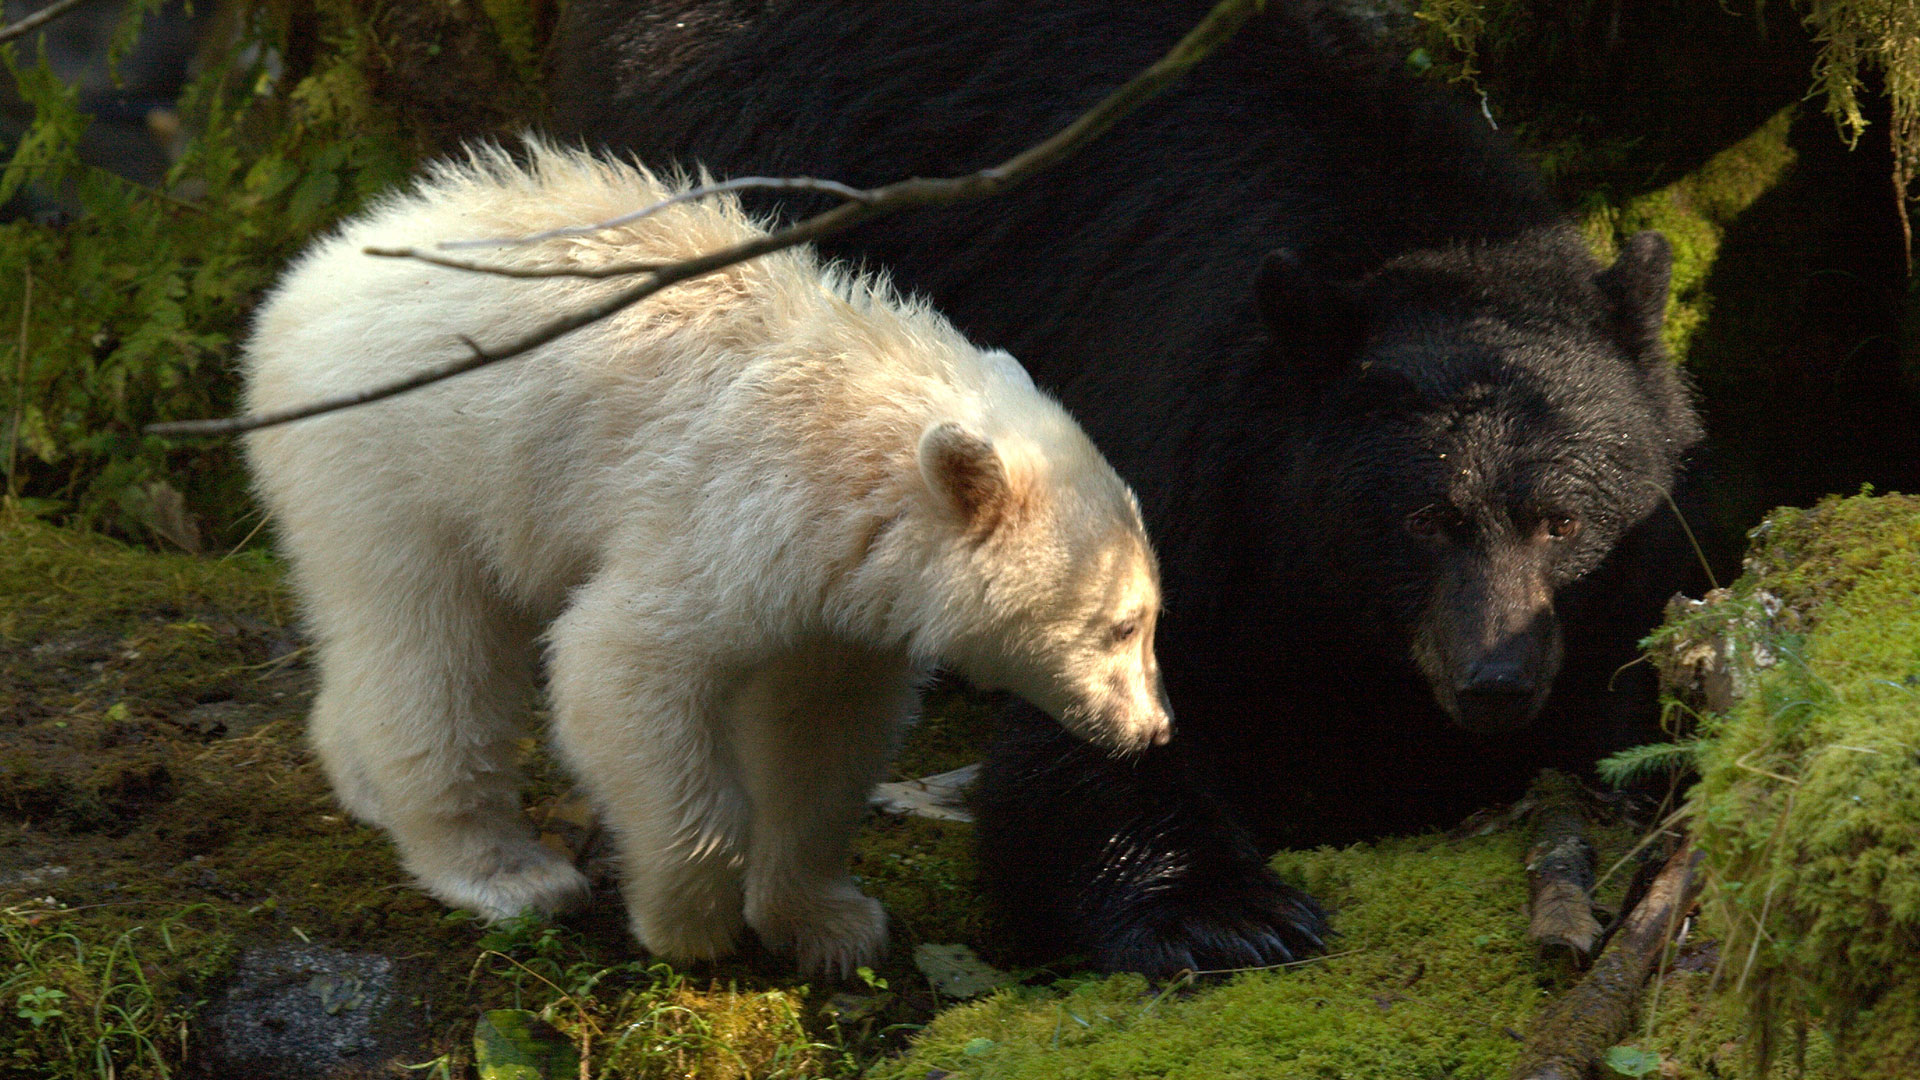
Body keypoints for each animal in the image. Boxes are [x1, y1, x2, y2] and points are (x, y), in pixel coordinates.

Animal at [239, 140, 1173, 976]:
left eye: (1152, 616)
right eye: (1121, 625)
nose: (1153, 730)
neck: (856, 443)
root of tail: (303, 285)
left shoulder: (842, 600)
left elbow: (821, 734)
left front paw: (830, 923)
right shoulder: (729, 512)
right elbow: (622, 667)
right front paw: (687, 922)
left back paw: (363, 783)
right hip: (399, 464)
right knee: (435, 651)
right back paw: (507, 871)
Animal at [547, 0, 1705, 974]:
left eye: (1562, 520)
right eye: (1425, 518)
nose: (1494, 682)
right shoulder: (1190, 455)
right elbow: (1095, 715)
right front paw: (1225, 911)